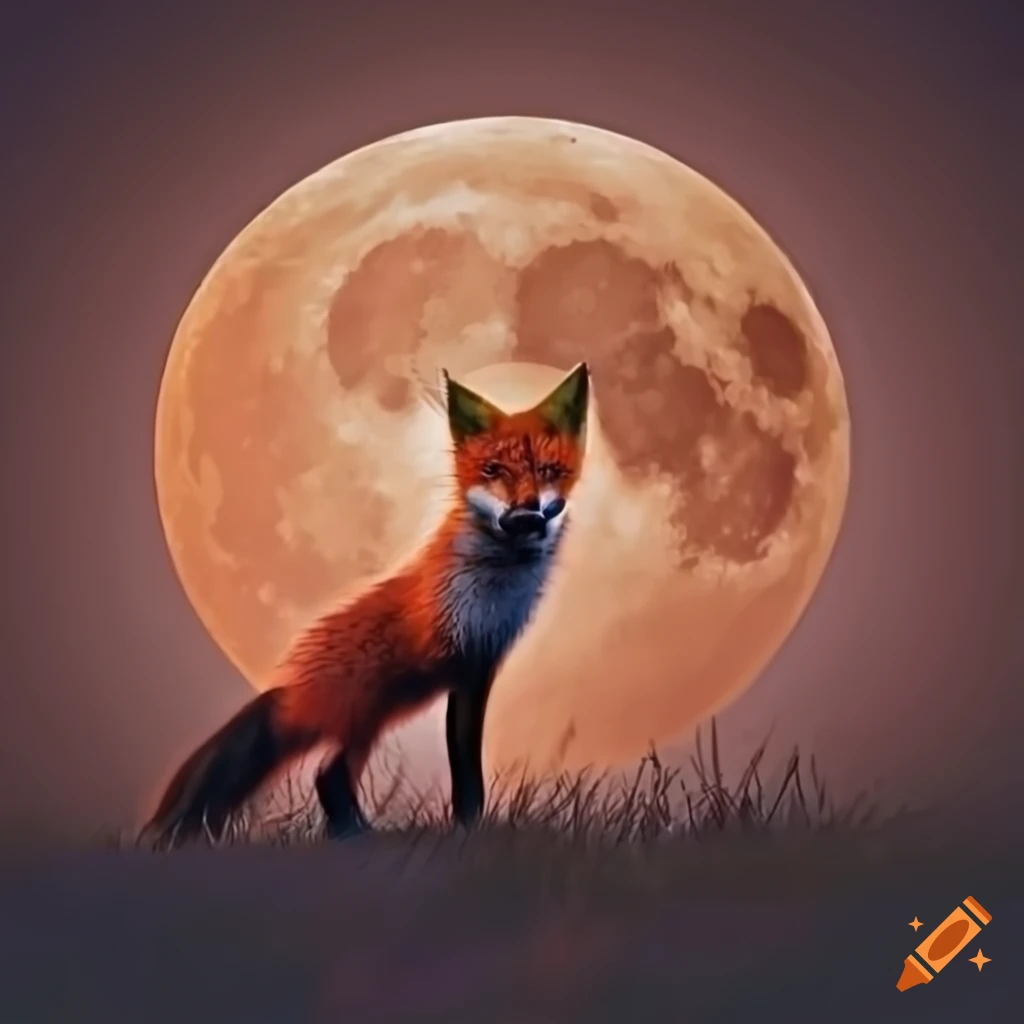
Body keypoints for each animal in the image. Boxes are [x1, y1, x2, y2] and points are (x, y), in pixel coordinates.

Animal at [142, 362, 590, 847]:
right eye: (493, 470)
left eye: (549, 470)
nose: (528, 513)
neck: (499, 579)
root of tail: (290, 688)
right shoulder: (461, 659)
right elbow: (466, 768)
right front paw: (469, 828)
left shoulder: (480, 667)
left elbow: (467, 769)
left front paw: (469, 826)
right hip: (372, 707)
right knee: (329, 776)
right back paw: (363, 837)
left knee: (330, 777)